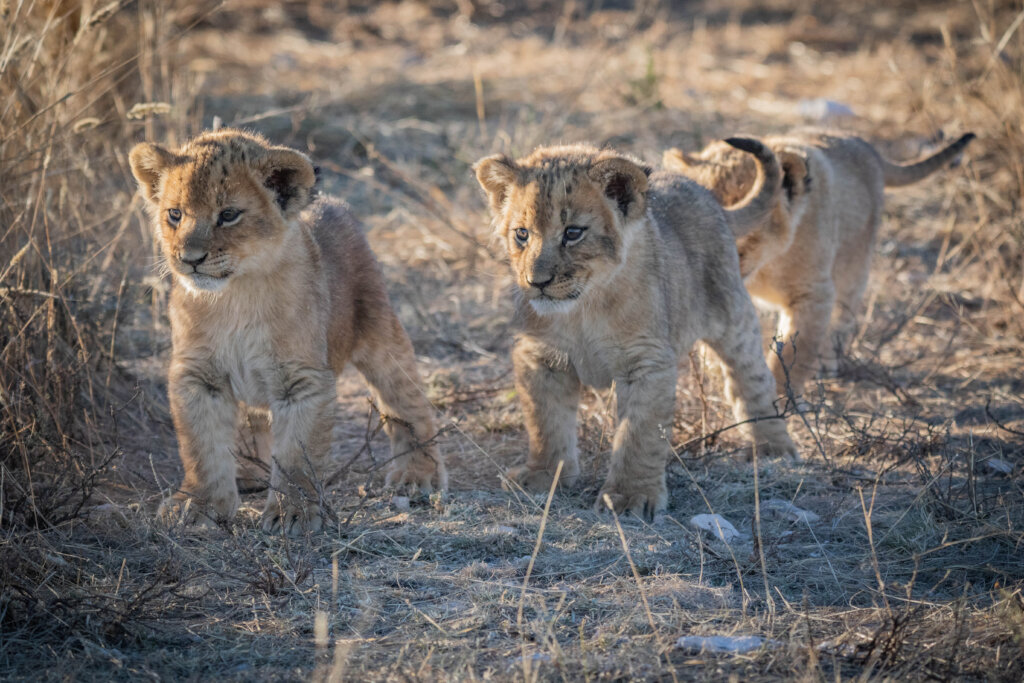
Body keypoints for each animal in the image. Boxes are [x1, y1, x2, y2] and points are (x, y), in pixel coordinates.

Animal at [129, 129, 446, 535]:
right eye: (175, 214)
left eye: (228, 215)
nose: (189, 259)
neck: (235, 297)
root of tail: (330, 201)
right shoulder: (198, 376)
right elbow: (202, 448)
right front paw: (196, 504)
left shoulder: (303, 380)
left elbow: (297, 453)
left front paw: (294, 513)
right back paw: (248, 472)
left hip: (380, 334)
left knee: (408, 402)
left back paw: (417, 475)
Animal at [474, 140, 798, 518]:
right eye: (522, 235)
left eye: (573, 233)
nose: (537, 282)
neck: (582, 310)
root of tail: (707, 195)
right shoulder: (539, 356)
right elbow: (546, 423)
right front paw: (543, 476)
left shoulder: (647, 362)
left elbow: (638, 434)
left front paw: (630, 497)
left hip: (734, 320)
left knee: (753, 380)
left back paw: (774, 447)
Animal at [663, 129, 975, 397]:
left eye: (746, 233)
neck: (765, 265)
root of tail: (864, 144)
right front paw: (716, 375)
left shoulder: (814, 293)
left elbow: (794, 351)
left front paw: (781, 398)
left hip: (853, 270)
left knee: (842, 321)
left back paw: (828, 363)